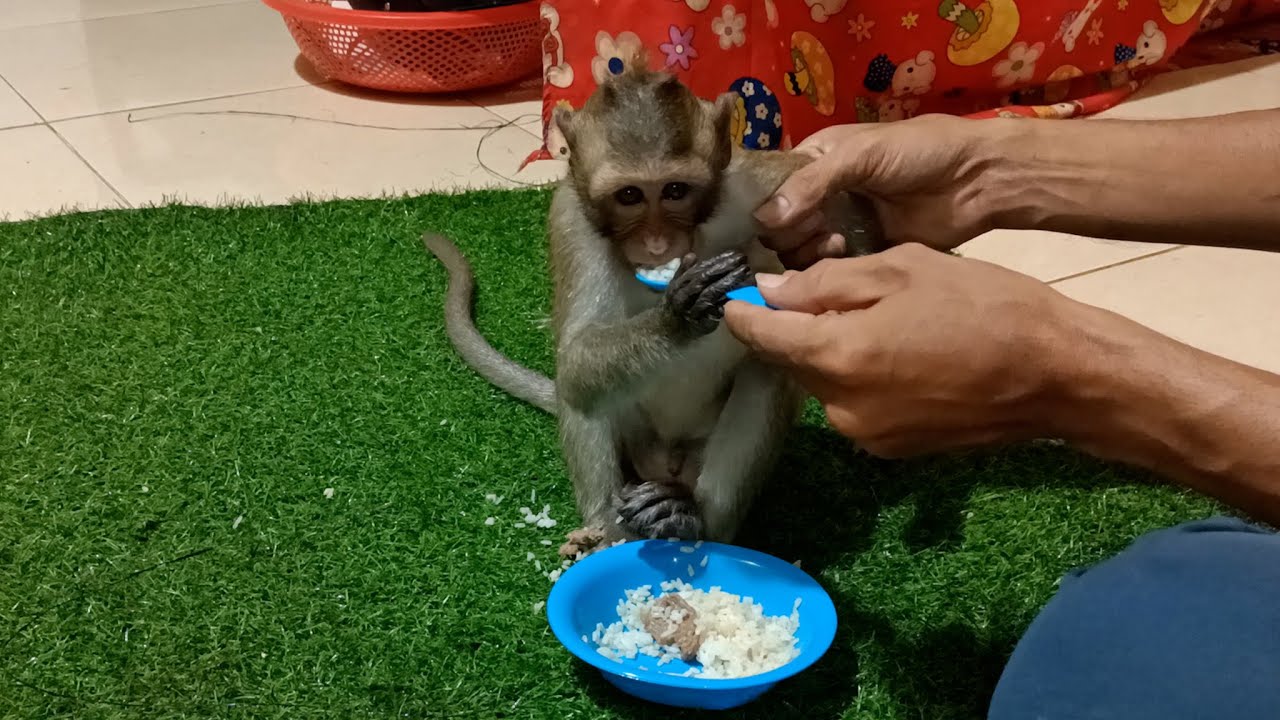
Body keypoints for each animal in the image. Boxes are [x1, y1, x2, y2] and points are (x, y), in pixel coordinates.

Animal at [425, 58, 882, 552]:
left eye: (675, 190)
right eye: (629, 195)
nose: (658, 243)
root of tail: (667, 463)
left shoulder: (757, 188)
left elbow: (843, 206)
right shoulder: (570, 221)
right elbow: (577, 359)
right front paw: (677, 316)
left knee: (770, 365)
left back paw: (689, 518)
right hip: (636, 441)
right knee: (584, 389)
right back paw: (605, 532)